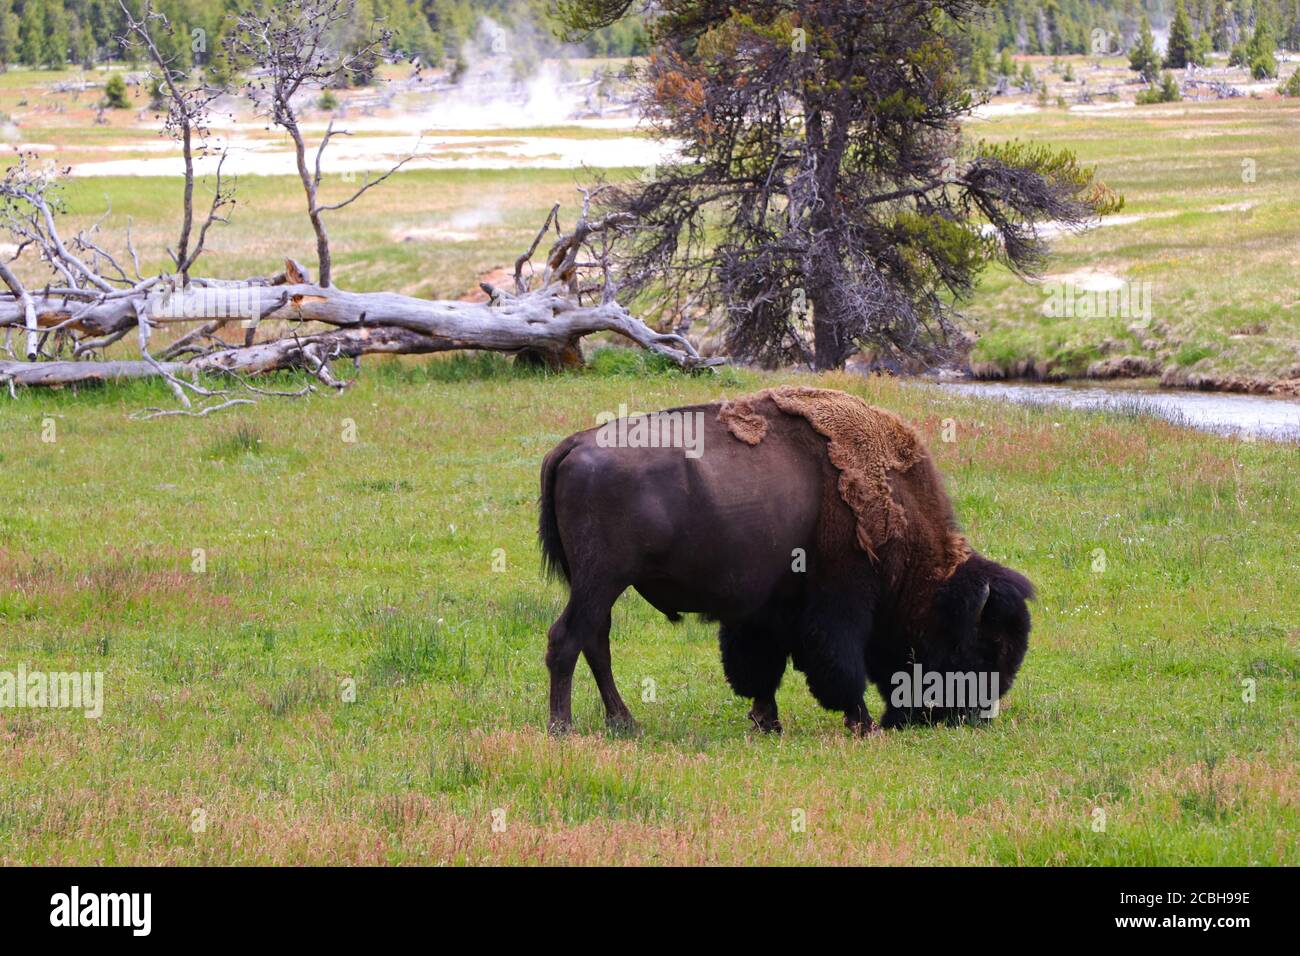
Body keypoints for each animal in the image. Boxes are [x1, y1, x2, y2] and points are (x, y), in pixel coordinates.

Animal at [538, 387, 1033, 735]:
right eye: (983, 647)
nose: (972, 716)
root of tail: (573, 446)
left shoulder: (770, 608)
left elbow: (763, 664)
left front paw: (767, 721)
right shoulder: (840, 600)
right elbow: (838, 665)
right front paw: (863, 723)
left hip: (598, 586)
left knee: (594, 640)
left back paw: (622, 721)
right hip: (601, 579)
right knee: (568, 638)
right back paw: (563, 727)